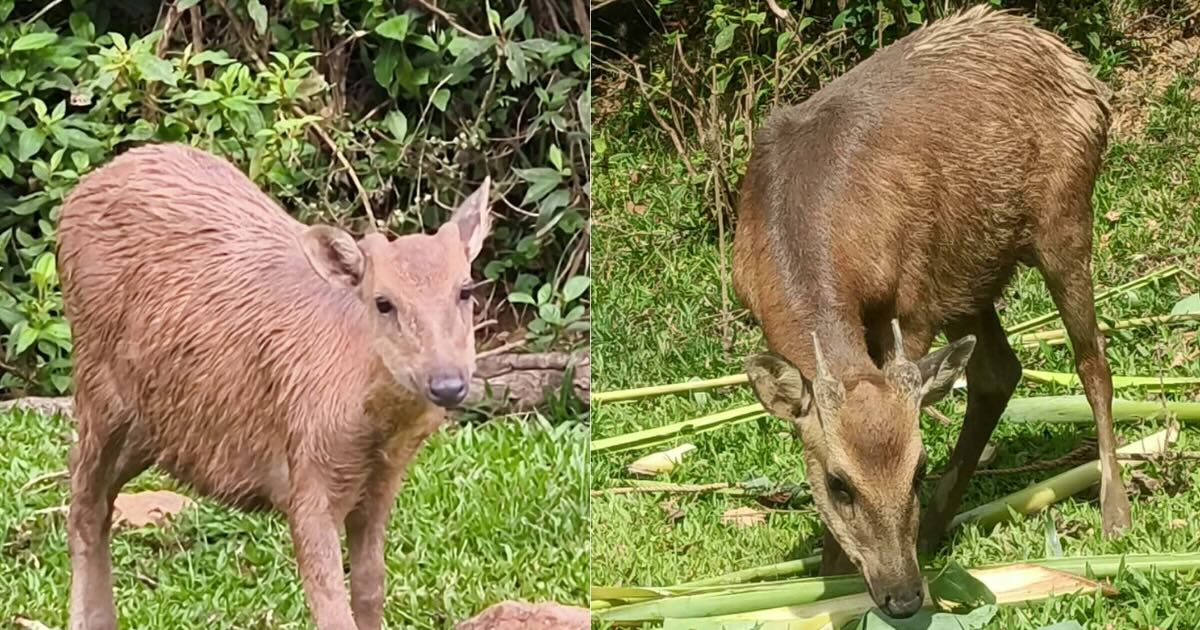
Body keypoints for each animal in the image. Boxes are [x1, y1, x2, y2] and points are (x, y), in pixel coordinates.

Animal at [57, 143, 491, 630]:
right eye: (384, 302)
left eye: (465, 289)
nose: (448, 383)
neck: (370, 422)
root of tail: (76, 196)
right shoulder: (308, 475)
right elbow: (331, 606)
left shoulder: (382, 481)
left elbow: (370, 589)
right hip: (97, 381)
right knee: (83, 497)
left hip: (153, 424)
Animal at [732, 6, 1130, 619]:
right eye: (838, 484)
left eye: (918, 468)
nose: (903, 595)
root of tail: (1077, 67)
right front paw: (830, 575)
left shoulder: (913, 298)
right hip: (971, 273)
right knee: (998, 371)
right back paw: (938, 527)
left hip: (1063, 214)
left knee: (1093, 360)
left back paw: (1115, 514)